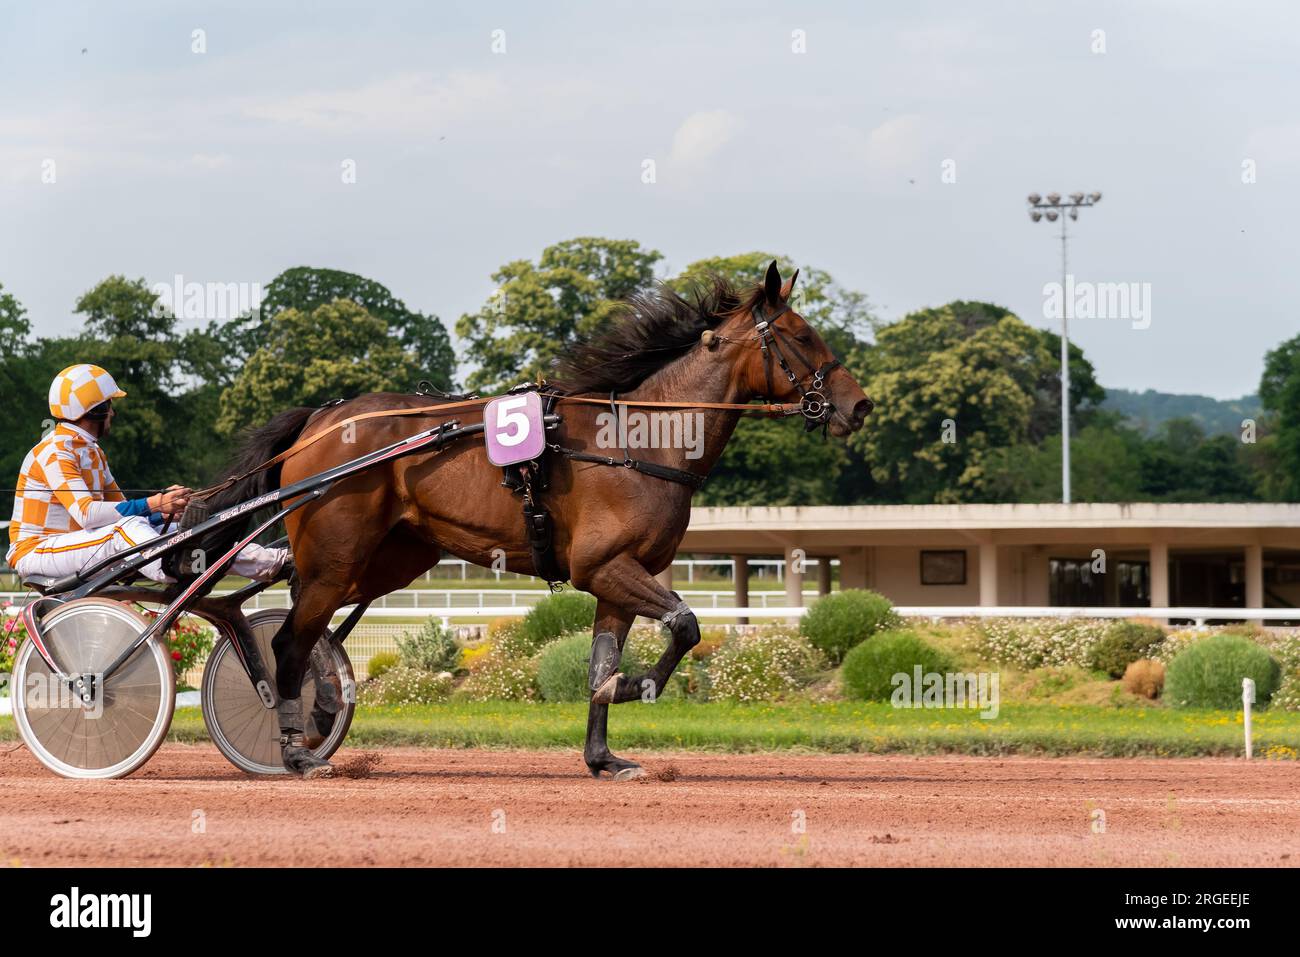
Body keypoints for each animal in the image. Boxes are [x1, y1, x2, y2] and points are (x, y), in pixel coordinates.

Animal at [206, 262, 873, 778]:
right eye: (802, 335)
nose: (860, 405)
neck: (638, 440)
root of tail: (320, 420)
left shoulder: (620, 579)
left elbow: (604, 662)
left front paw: (604, 755)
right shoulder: (603, 566)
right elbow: (684, 627)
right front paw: (634, 687)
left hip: (391, 558)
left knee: (312, 625)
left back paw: (320, 711)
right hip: (339, 555)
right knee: (291, 639)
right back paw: (298, 749)